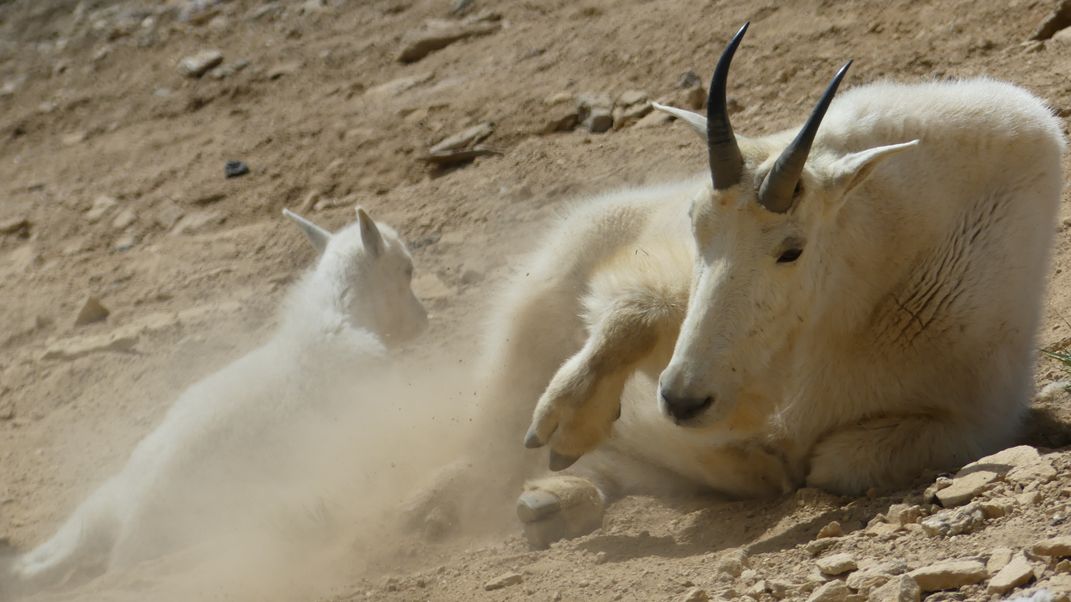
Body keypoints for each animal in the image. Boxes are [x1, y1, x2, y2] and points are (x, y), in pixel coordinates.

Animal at [4, 207, 427, 592]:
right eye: (407, 269)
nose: (424, 319)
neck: (343, 318)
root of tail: (127, 531)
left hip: (97, 504)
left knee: (40, 561)